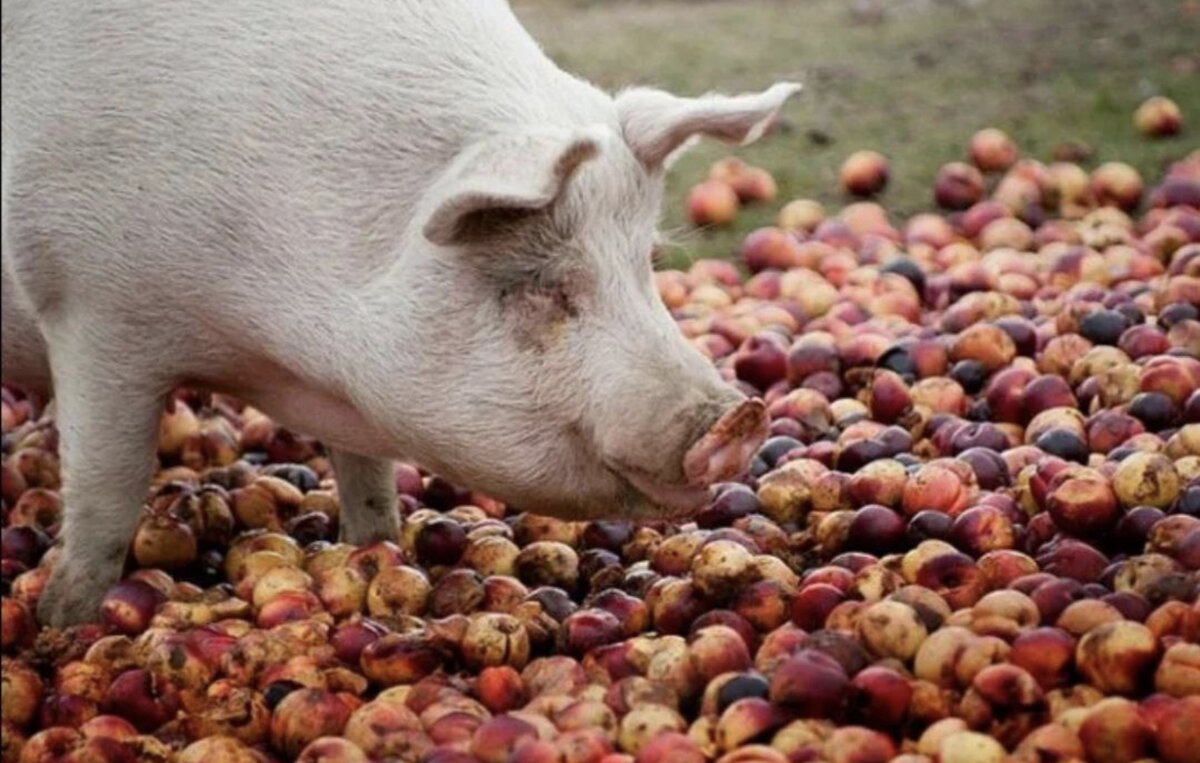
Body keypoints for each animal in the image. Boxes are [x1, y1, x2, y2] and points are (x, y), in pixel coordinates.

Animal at [2, 0, 796, 623]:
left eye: (646, 264)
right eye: (541, 284)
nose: (738, 416)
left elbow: (370, 480)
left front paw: (372, 549)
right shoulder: (90, 308)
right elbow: (106, 493)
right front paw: (63, 622)